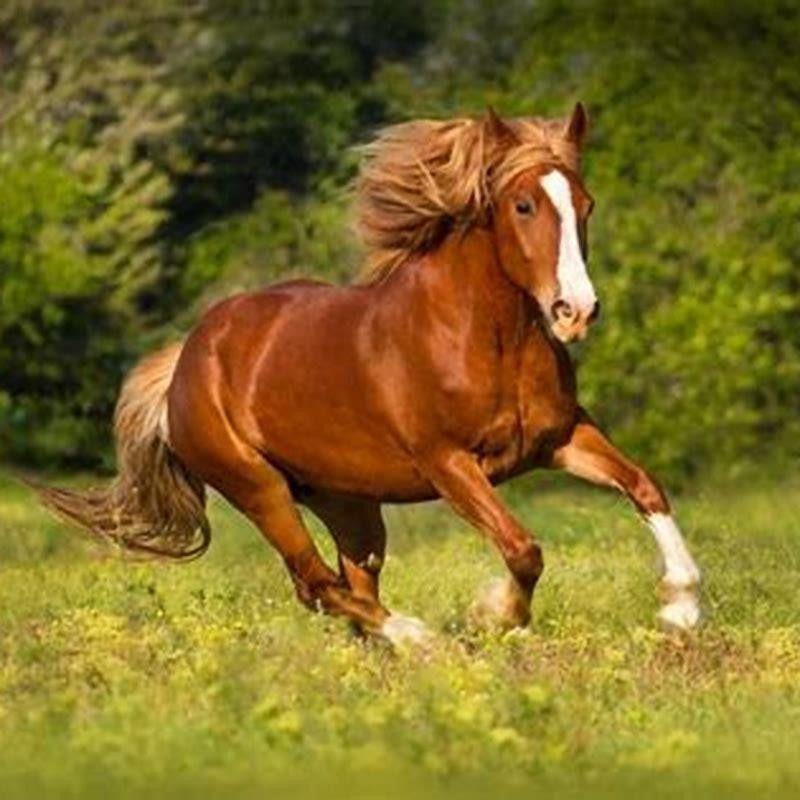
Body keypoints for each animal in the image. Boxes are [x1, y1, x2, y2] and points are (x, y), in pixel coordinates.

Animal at [33, 104, 701, 647]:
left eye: (585, 204)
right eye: (524, 205)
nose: (575, 311)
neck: (484, 341)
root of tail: (187, 359)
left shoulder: (560, 438)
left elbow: (644, 486)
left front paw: (681, 609)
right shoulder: (449, 463)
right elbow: (523, 548)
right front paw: (494, 615)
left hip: (348, 503)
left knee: (349, 581)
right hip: (260, 490)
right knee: (317, 582)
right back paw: (418, 639)